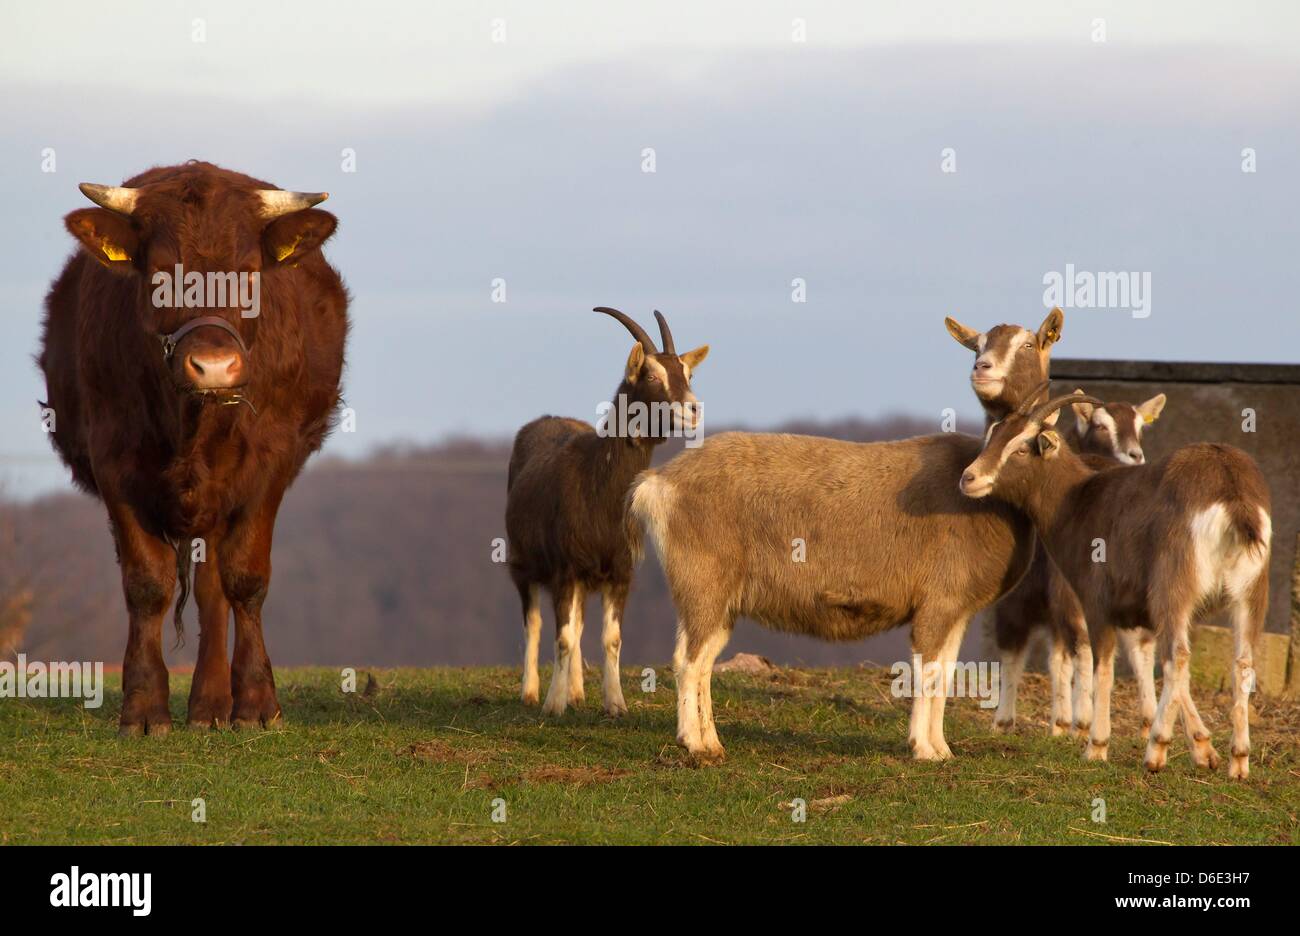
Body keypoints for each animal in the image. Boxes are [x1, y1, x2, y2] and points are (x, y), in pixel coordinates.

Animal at [39, 161, 349, 735]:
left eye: (248, 272)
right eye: (162, 271)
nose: (215, 368)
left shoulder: (268, 468)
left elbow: (245, 580)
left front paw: (257, 703)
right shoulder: (114, 463)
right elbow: (147, 583)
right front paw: (143, 708)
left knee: (213, 591)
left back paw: (210, 703)